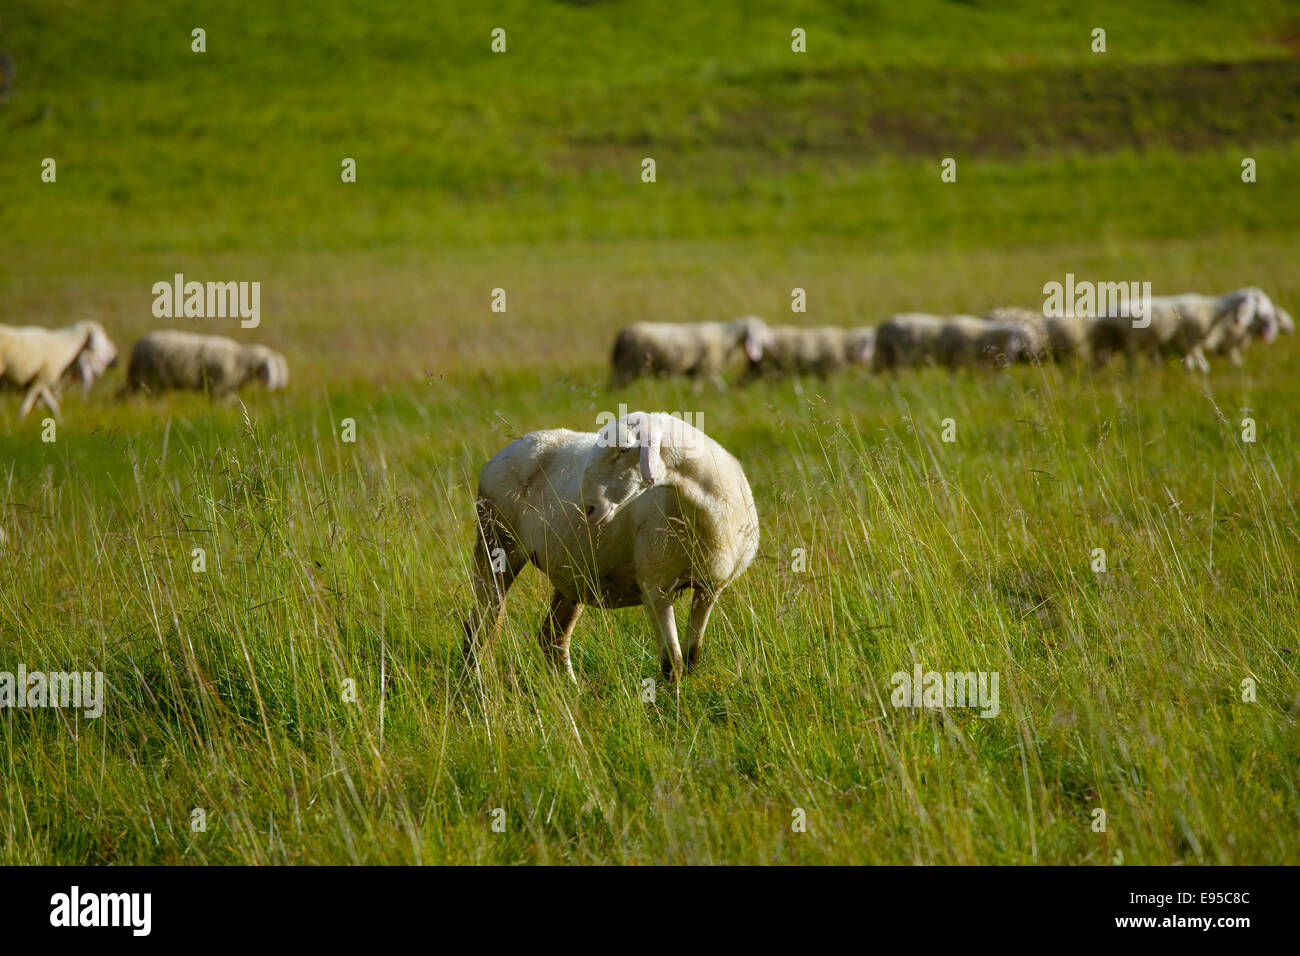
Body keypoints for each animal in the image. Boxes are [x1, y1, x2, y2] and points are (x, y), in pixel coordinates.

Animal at [462, 411, 760, 682]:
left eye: (625, 449)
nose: (587, 509)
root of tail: (512, 446)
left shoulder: (710, 587)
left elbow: (691, 656)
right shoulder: (655, 587)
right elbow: (671, 663)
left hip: (574, 573)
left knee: (552, 637)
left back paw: (573, 690)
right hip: (496, 543)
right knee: (480, 624)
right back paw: (473, 684)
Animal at [610, 316, 768, 387]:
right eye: (756, 331)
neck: (725, 338)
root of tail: (622, 334)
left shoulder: (703, 371)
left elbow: (720, 387)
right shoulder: (704, 369)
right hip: (626, 368)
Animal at [1090, 287, 1276, 373]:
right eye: (1255, 302)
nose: (1269, 317)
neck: (1212, 310)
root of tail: (1104, 314)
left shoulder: (1188, 345)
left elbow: (1191, 364)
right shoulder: (1192, 340)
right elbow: (1201, 365)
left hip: (1111, 344)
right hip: (1128, 342)